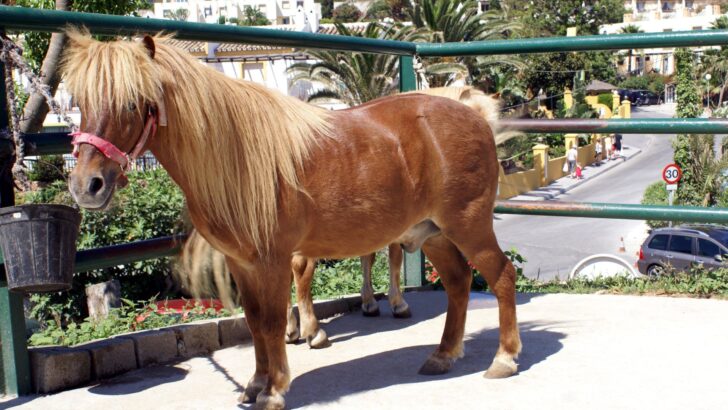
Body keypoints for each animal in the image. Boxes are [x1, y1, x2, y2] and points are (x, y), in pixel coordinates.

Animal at [177, 86, 511, 350]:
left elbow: (368, 258)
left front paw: (370, 302)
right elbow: (390, 260)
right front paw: (394, 302)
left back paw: (293, 328)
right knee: (299, 270)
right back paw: (310, 330)